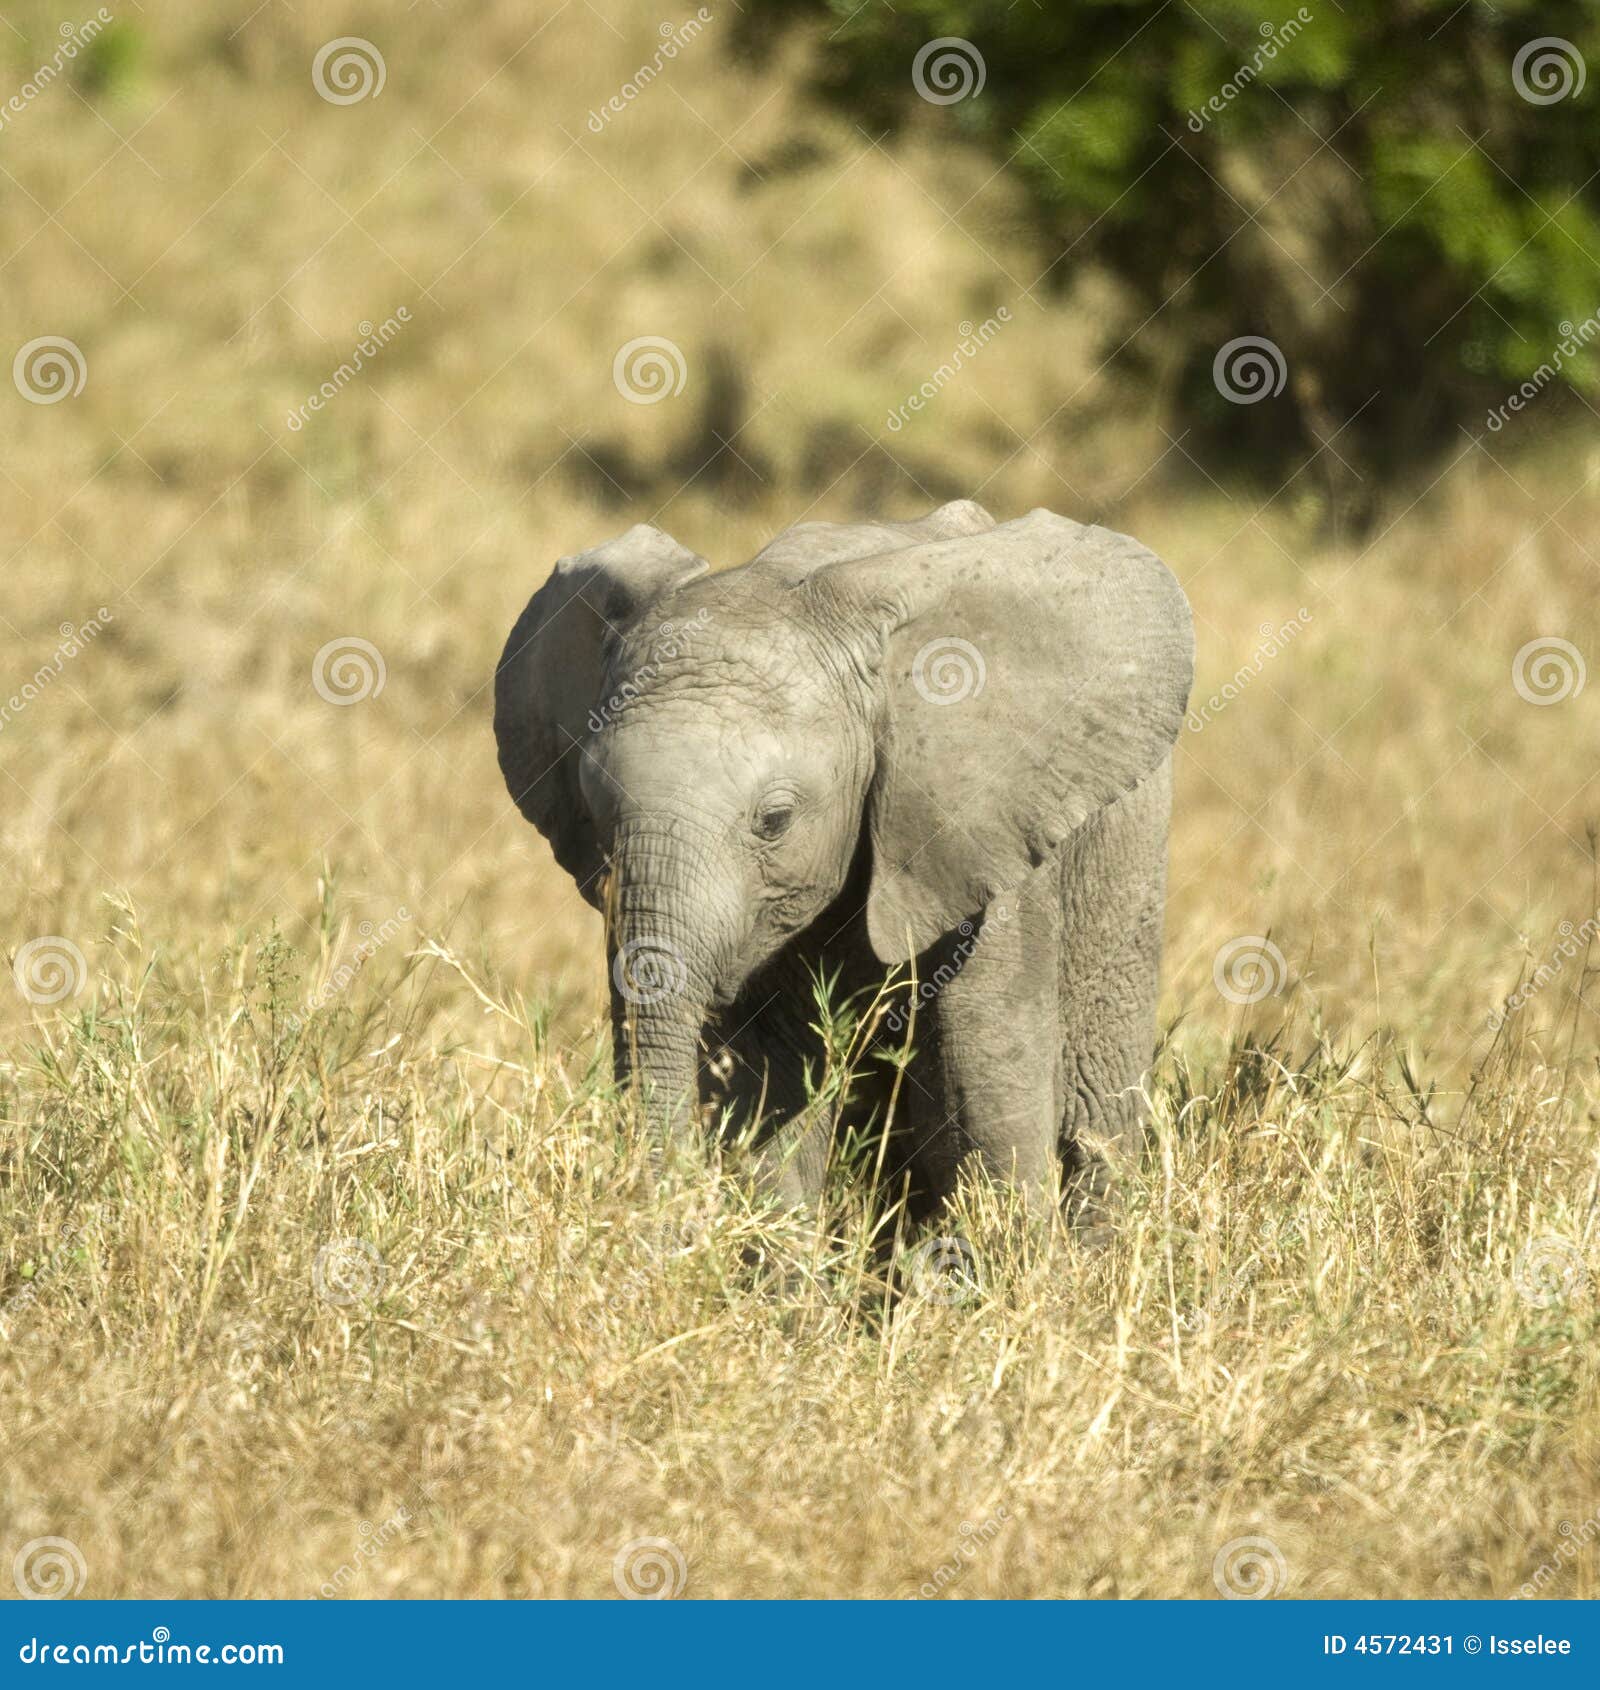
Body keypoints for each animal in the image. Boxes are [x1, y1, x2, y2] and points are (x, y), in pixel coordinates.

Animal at [494, 500, 1193, 1228]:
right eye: (595, 813)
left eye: (774, 821)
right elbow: (770, 1097)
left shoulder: (980, 830)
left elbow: (986, 1091)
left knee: (1092, 1118)